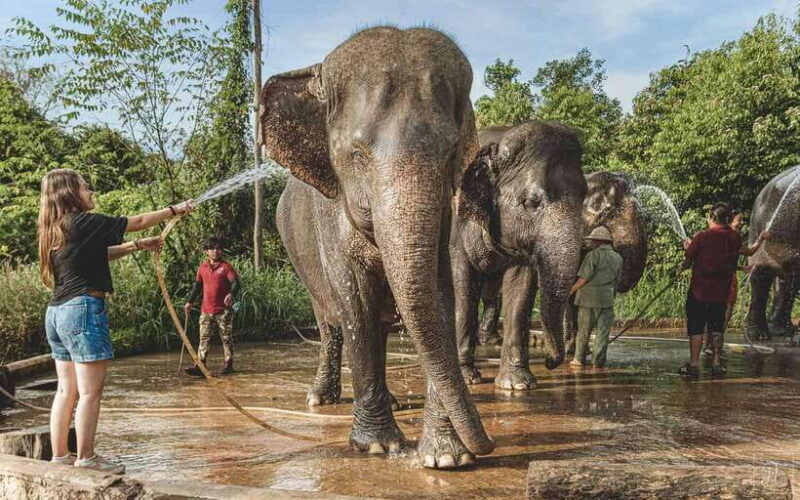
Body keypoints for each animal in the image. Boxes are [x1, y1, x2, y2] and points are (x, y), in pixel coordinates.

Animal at [264, 27, 494, 469]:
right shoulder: (330, 211)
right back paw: (320, 399)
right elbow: (356, 303)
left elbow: (438, 295)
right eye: (356, 154)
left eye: (450, 153)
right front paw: (377, 446)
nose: (488, 444)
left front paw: (446, 457)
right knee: (330, 322)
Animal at [452, 122, 587, 389]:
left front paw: (517, 384)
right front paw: (468, 379)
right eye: (531, 202)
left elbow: (521, 285)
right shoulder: (455, 221)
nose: (550, 362)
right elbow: (463, 282)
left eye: (584, 196)